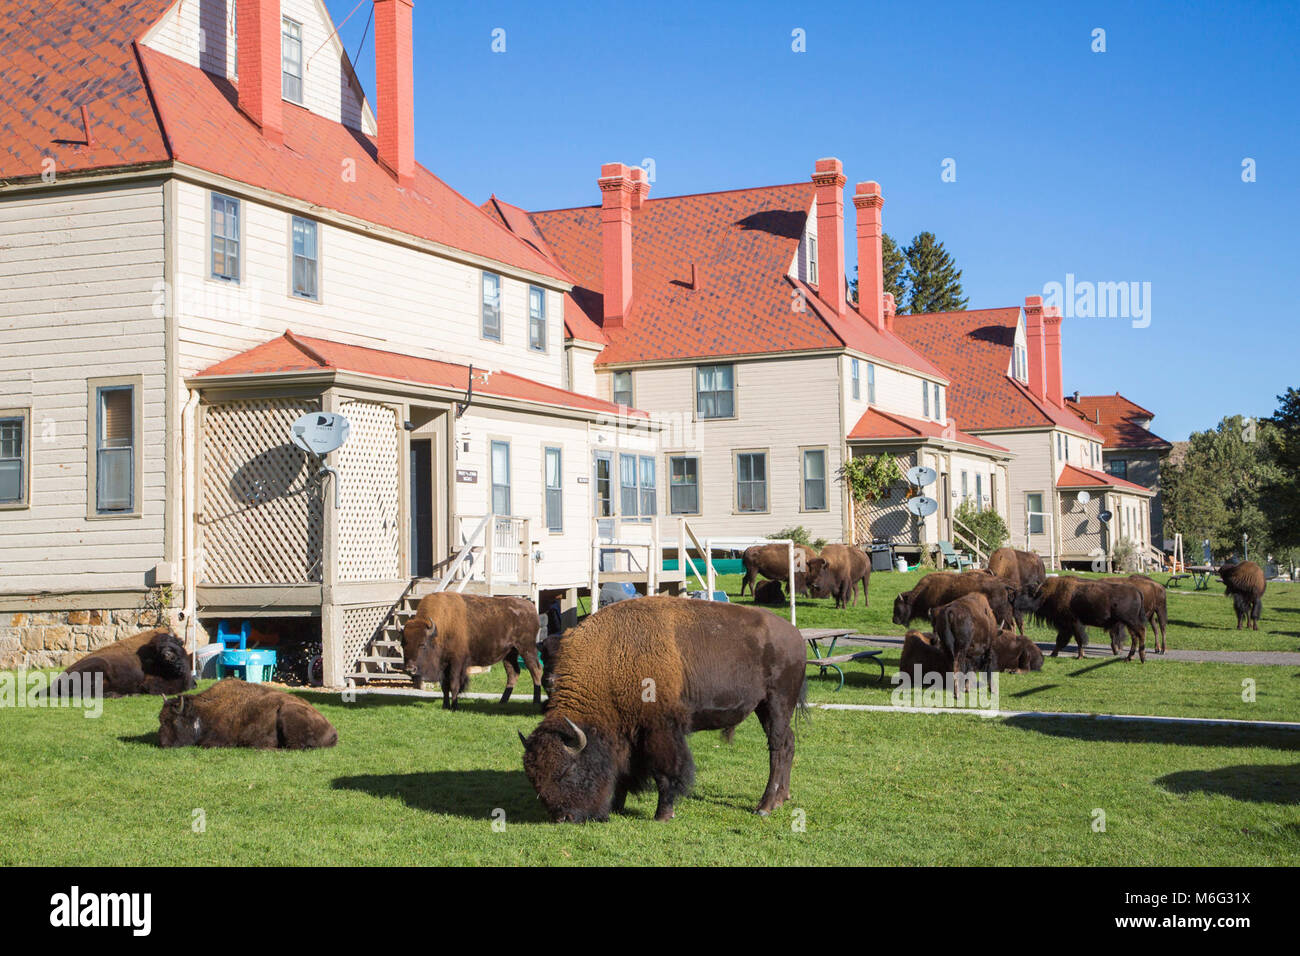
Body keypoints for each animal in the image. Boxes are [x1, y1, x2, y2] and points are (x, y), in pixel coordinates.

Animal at [403, 592, 543, 709]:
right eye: (403, 643)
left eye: (422, 644)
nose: (410, 669)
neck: (442, 626)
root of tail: (531, 607)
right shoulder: (443, 665)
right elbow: (445, 686)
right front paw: (445, 706)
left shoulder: (457, 663)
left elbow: (454, 684)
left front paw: (454, 706)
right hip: (510, 654)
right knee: (513, 673)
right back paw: (502, 701)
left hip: (527, 648)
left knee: (535, 670)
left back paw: (536, 701)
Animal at [521, 596, 805, 823]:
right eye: (534, 779)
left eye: (568, 771)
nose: (563, 817)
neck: (611, 659)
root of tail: (796, 635)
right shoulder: (629, 731)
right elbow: (626, 769)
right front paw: (617, 805)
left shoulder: (660, 730)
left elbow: (665, 772)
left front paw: (663, 814)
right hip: (765, 708)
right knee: (788, 743)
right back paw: (782, 798)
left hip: (777, 703)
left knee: (777, 749)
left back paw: (764, 806)